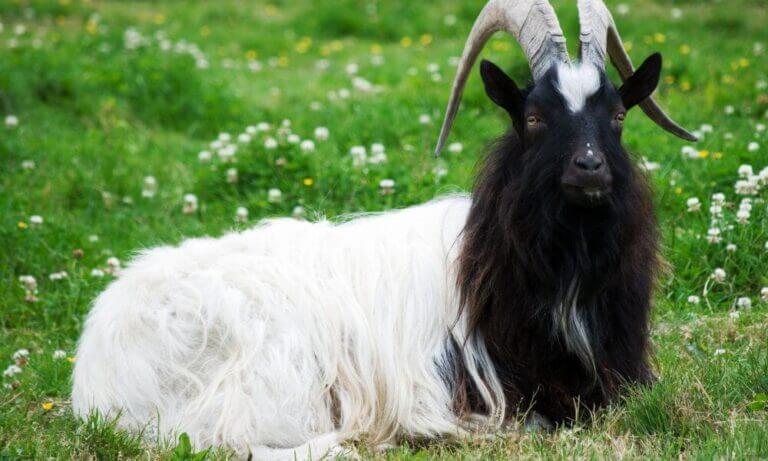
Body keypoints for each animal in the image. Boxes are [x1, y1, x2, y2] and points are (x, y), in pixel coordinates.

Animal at [72, 0, 696, 458]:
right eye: (535, 117)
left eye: (618, 114)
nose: (590, 168)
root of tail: (95, 375)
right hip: (268, 372)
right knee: (223, 438)